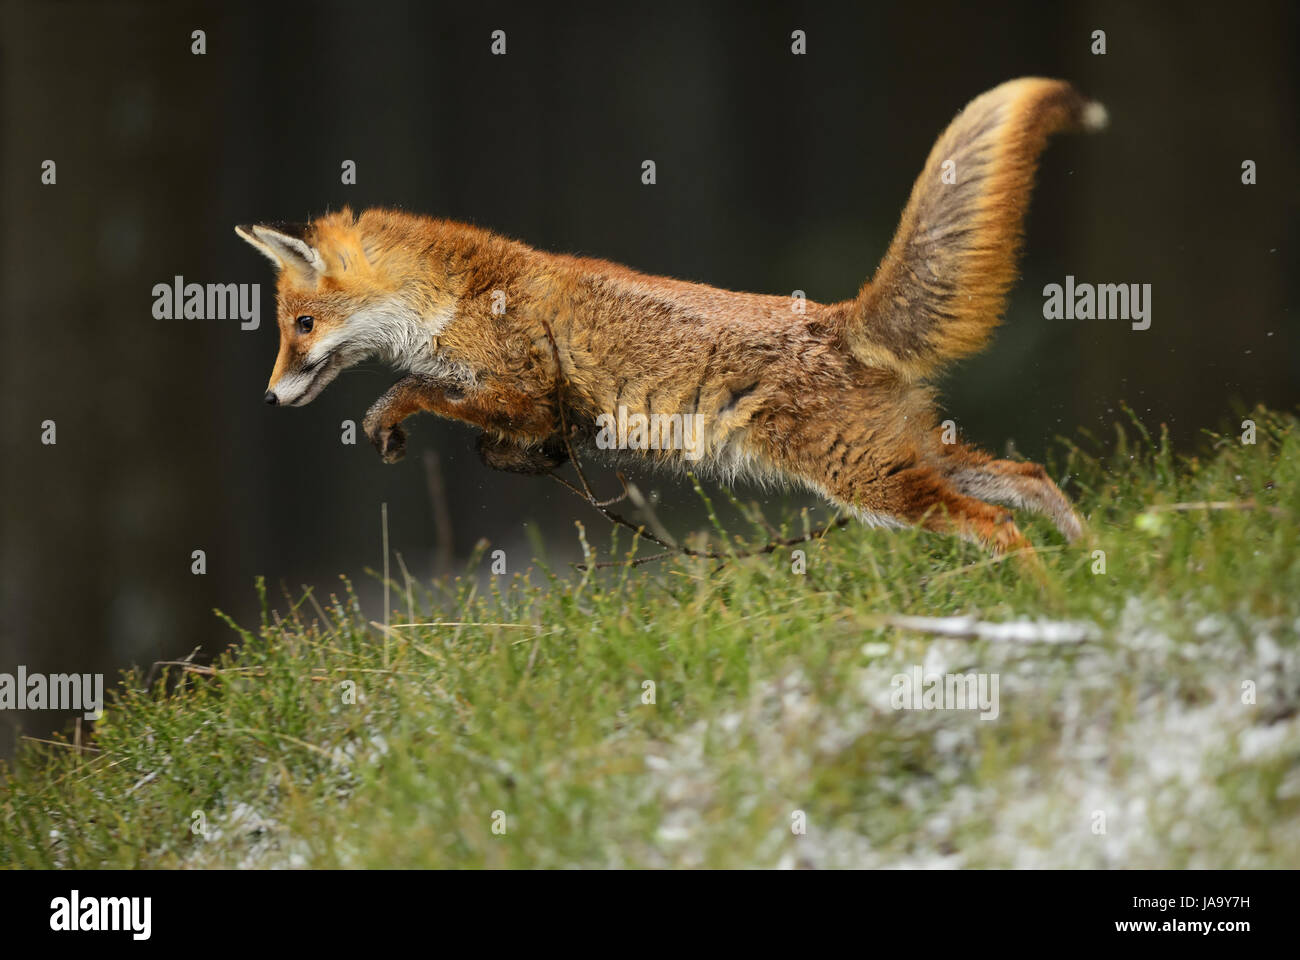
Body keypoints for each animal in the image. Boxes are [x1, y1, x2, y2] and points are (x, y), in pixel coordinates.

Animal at [237, 77, 1106, 556]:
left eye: (299, 327)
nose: (269, 397)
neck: (455, 293)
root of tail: (837, 318)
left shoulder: (524, 391)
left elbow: (417, 393)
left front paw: (387, 418)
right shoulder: (543, 413)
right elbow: (492, 443)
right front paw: (525, 462)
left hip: (871, 482)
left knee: (1000, 526)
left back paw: (1045, 604)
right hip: (910, 458)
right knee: (1030, 481)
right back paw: (1093, 571)